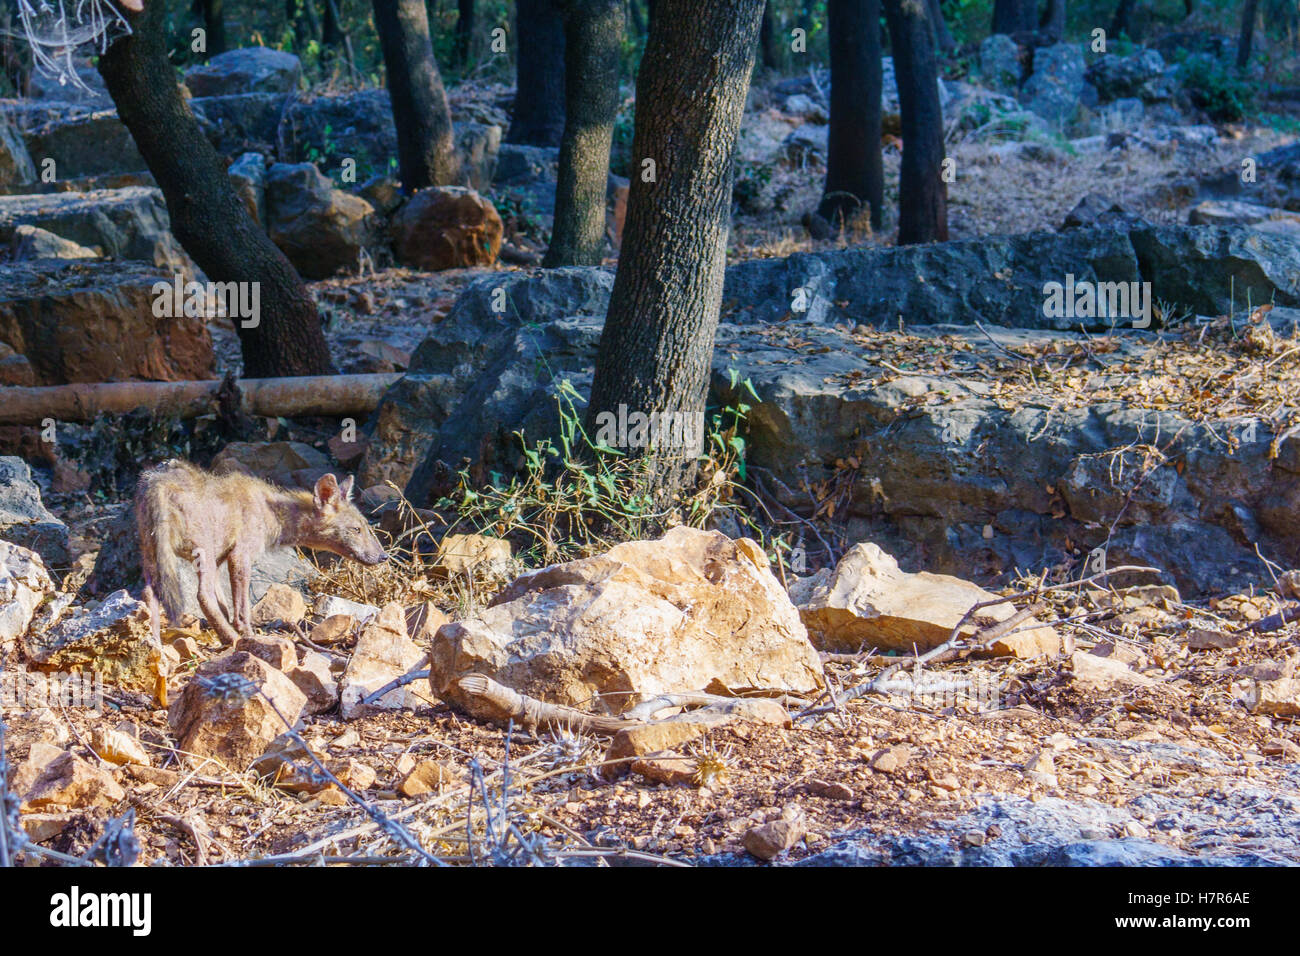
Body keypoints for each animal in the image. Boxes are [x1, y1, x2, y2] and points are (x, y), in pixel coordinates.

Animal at [136, 459, 387, 646]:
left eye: (365, 526)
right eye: (355, 530)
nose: (384, 557)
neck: (271, 514)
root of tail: (158, 482)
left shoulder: (221, 559)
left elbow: (225, 605)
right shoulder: (240, 555)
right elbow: (241, 607)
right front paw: (246, 634)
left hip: (155, 559)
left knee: (149, 595)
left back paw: (155, 645)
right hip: (200, 553)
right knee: (202, 596)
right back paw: (232, 639)